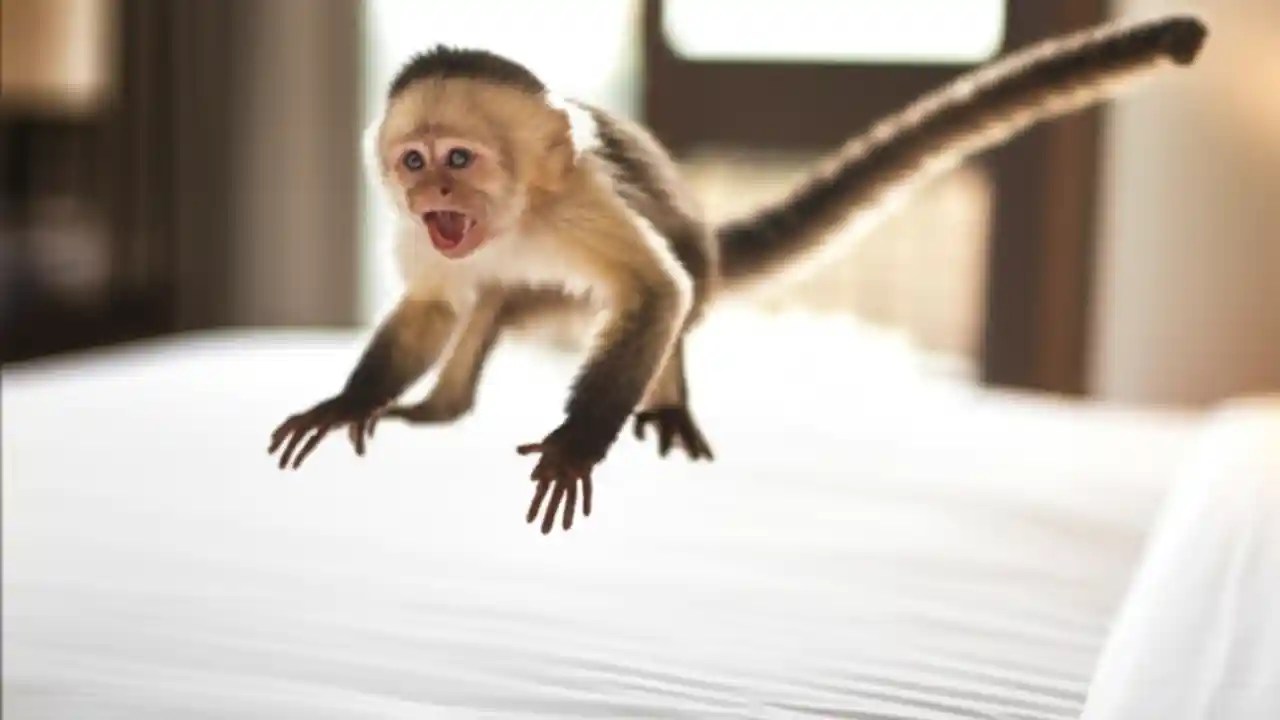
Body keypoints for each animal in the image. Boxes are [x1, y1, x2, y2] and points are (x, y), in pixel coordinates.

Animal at [268, 14, 1207, 534]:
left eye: (460, 159)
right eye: (414, 160)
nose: (430, 191)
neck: (514, 218)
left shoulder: (578, 202)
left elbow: (657, 292)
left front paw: (578, 443)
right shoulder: (428, 240)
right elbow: (432, 303)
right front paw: (349, 400)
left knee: (678, 280)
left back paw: (668, 398)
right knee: (488, 301)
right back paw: (443, 407)